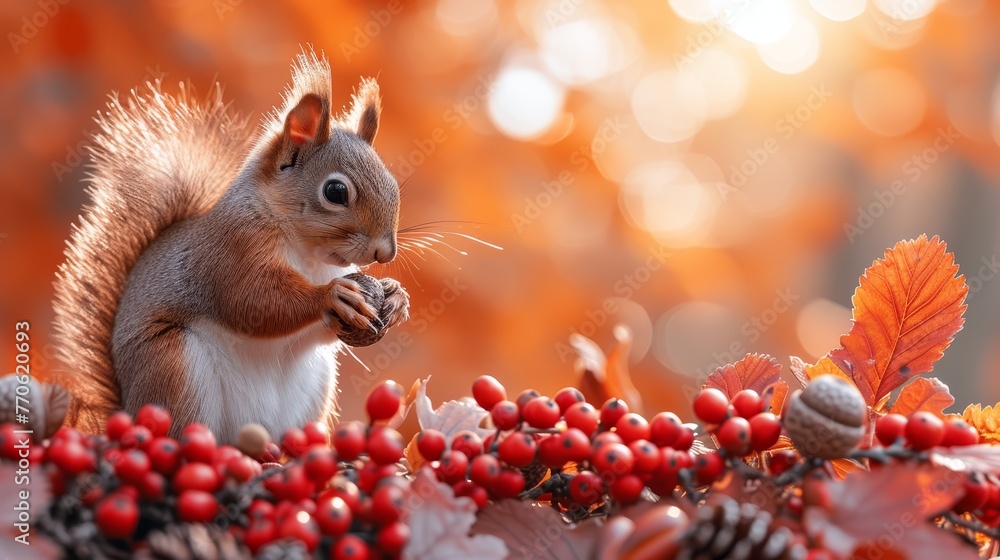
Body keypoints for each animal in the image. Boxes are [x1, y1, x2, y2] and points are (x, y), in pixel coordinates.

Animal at [52, 49, 410, 443]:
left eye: (392, 184)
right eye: (335, 192)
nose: (385, 253)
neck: (311, 255)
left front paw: (395, 297)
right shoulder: (230, 248)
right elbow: (251, 299)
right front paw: (332, 295)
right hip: (173, 368)